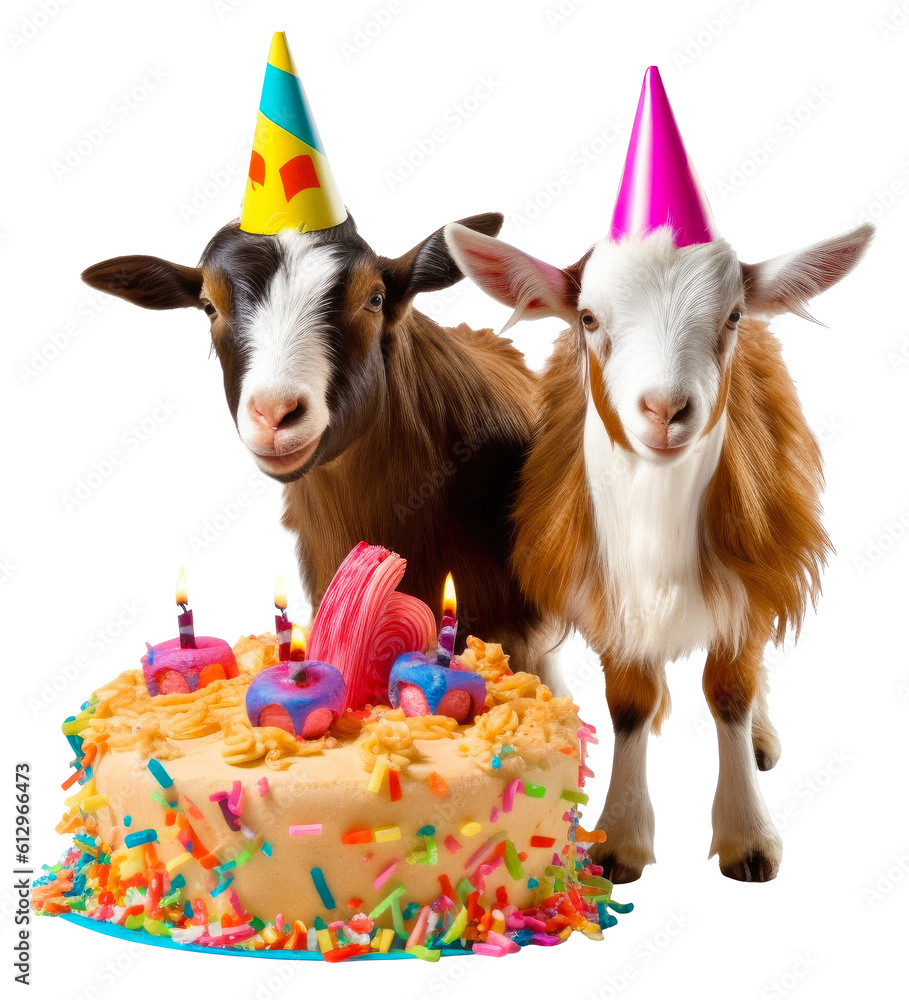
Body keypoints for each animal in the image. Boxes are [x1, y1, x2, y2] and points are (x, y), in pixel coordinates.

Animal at [446, 214, 873, 882]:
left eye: (732, 315)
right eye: (588, 318)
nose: (666, 409)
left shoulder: (752, 577)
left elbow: (730, 693)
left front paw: (747, 836)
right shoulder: (605, 594)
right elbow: (629, 704)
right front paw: (620, 838)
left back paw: (762, 738)